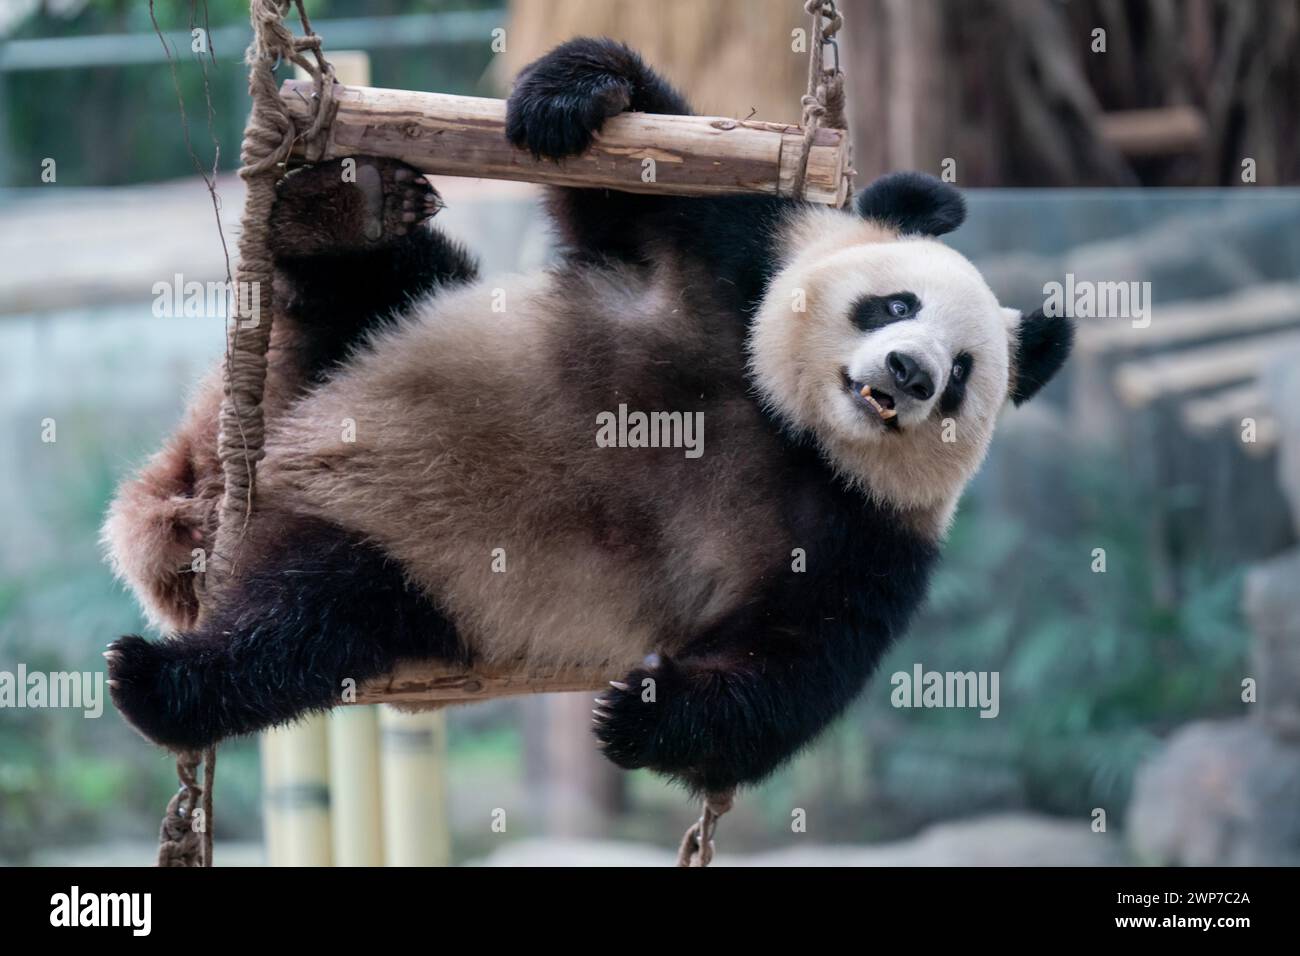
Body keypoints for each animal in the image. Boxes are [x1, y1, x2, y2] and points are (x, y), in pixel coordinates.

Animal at [102, 38, 1072, 795]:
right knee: (383, 283)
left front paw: (641, 710)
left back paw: (159, 683)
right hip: (367, 348)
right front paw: (576, 98)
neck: (785, 421)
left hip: (401, 566)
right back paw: (347, 210)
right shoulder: (729, 273)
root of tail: (224, 488)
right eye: (893, 304)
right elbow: (649, 193)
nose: (909, 373)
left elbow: (789, 675)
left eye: (962, 377)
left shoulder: (865, 538)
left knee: (302, 630)